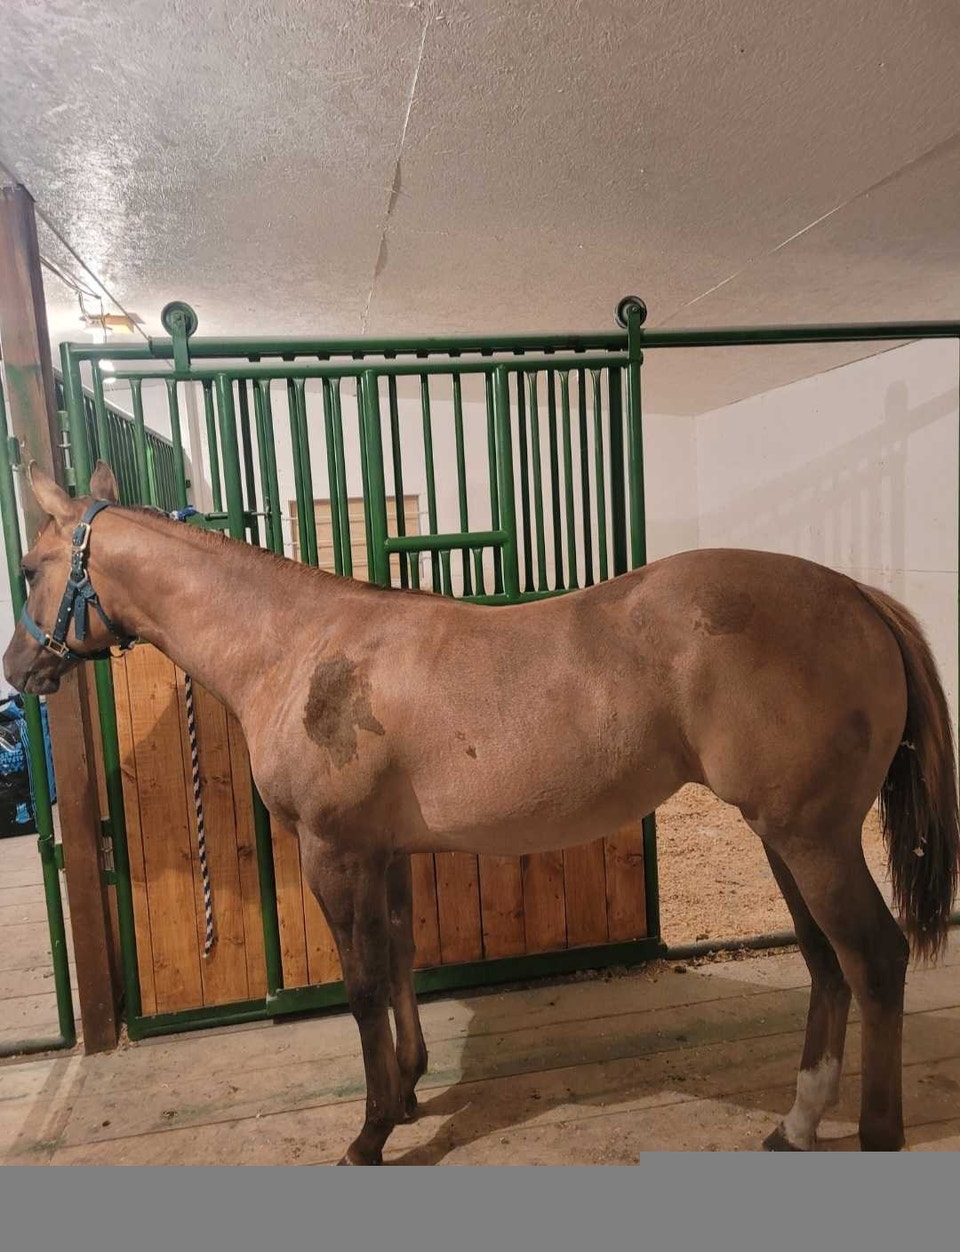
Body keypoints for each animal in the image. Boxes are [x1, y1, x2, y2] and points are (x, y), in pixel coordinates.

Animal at [4, 460, 958, 1161]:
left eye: (27, 569)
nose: (19, 669)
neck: (299, 648)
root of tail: (861, 598)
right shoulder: (382, 852)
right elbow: (398, 960)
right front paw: (410, 1089)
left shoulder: (332, 851)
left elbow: (361, 985)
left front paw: (370, 1133)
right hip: (784, 836)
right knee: (828, 965)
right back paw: (796, 1125)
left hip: (812, 837)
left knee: (873, 959)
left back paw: (874, 1133)